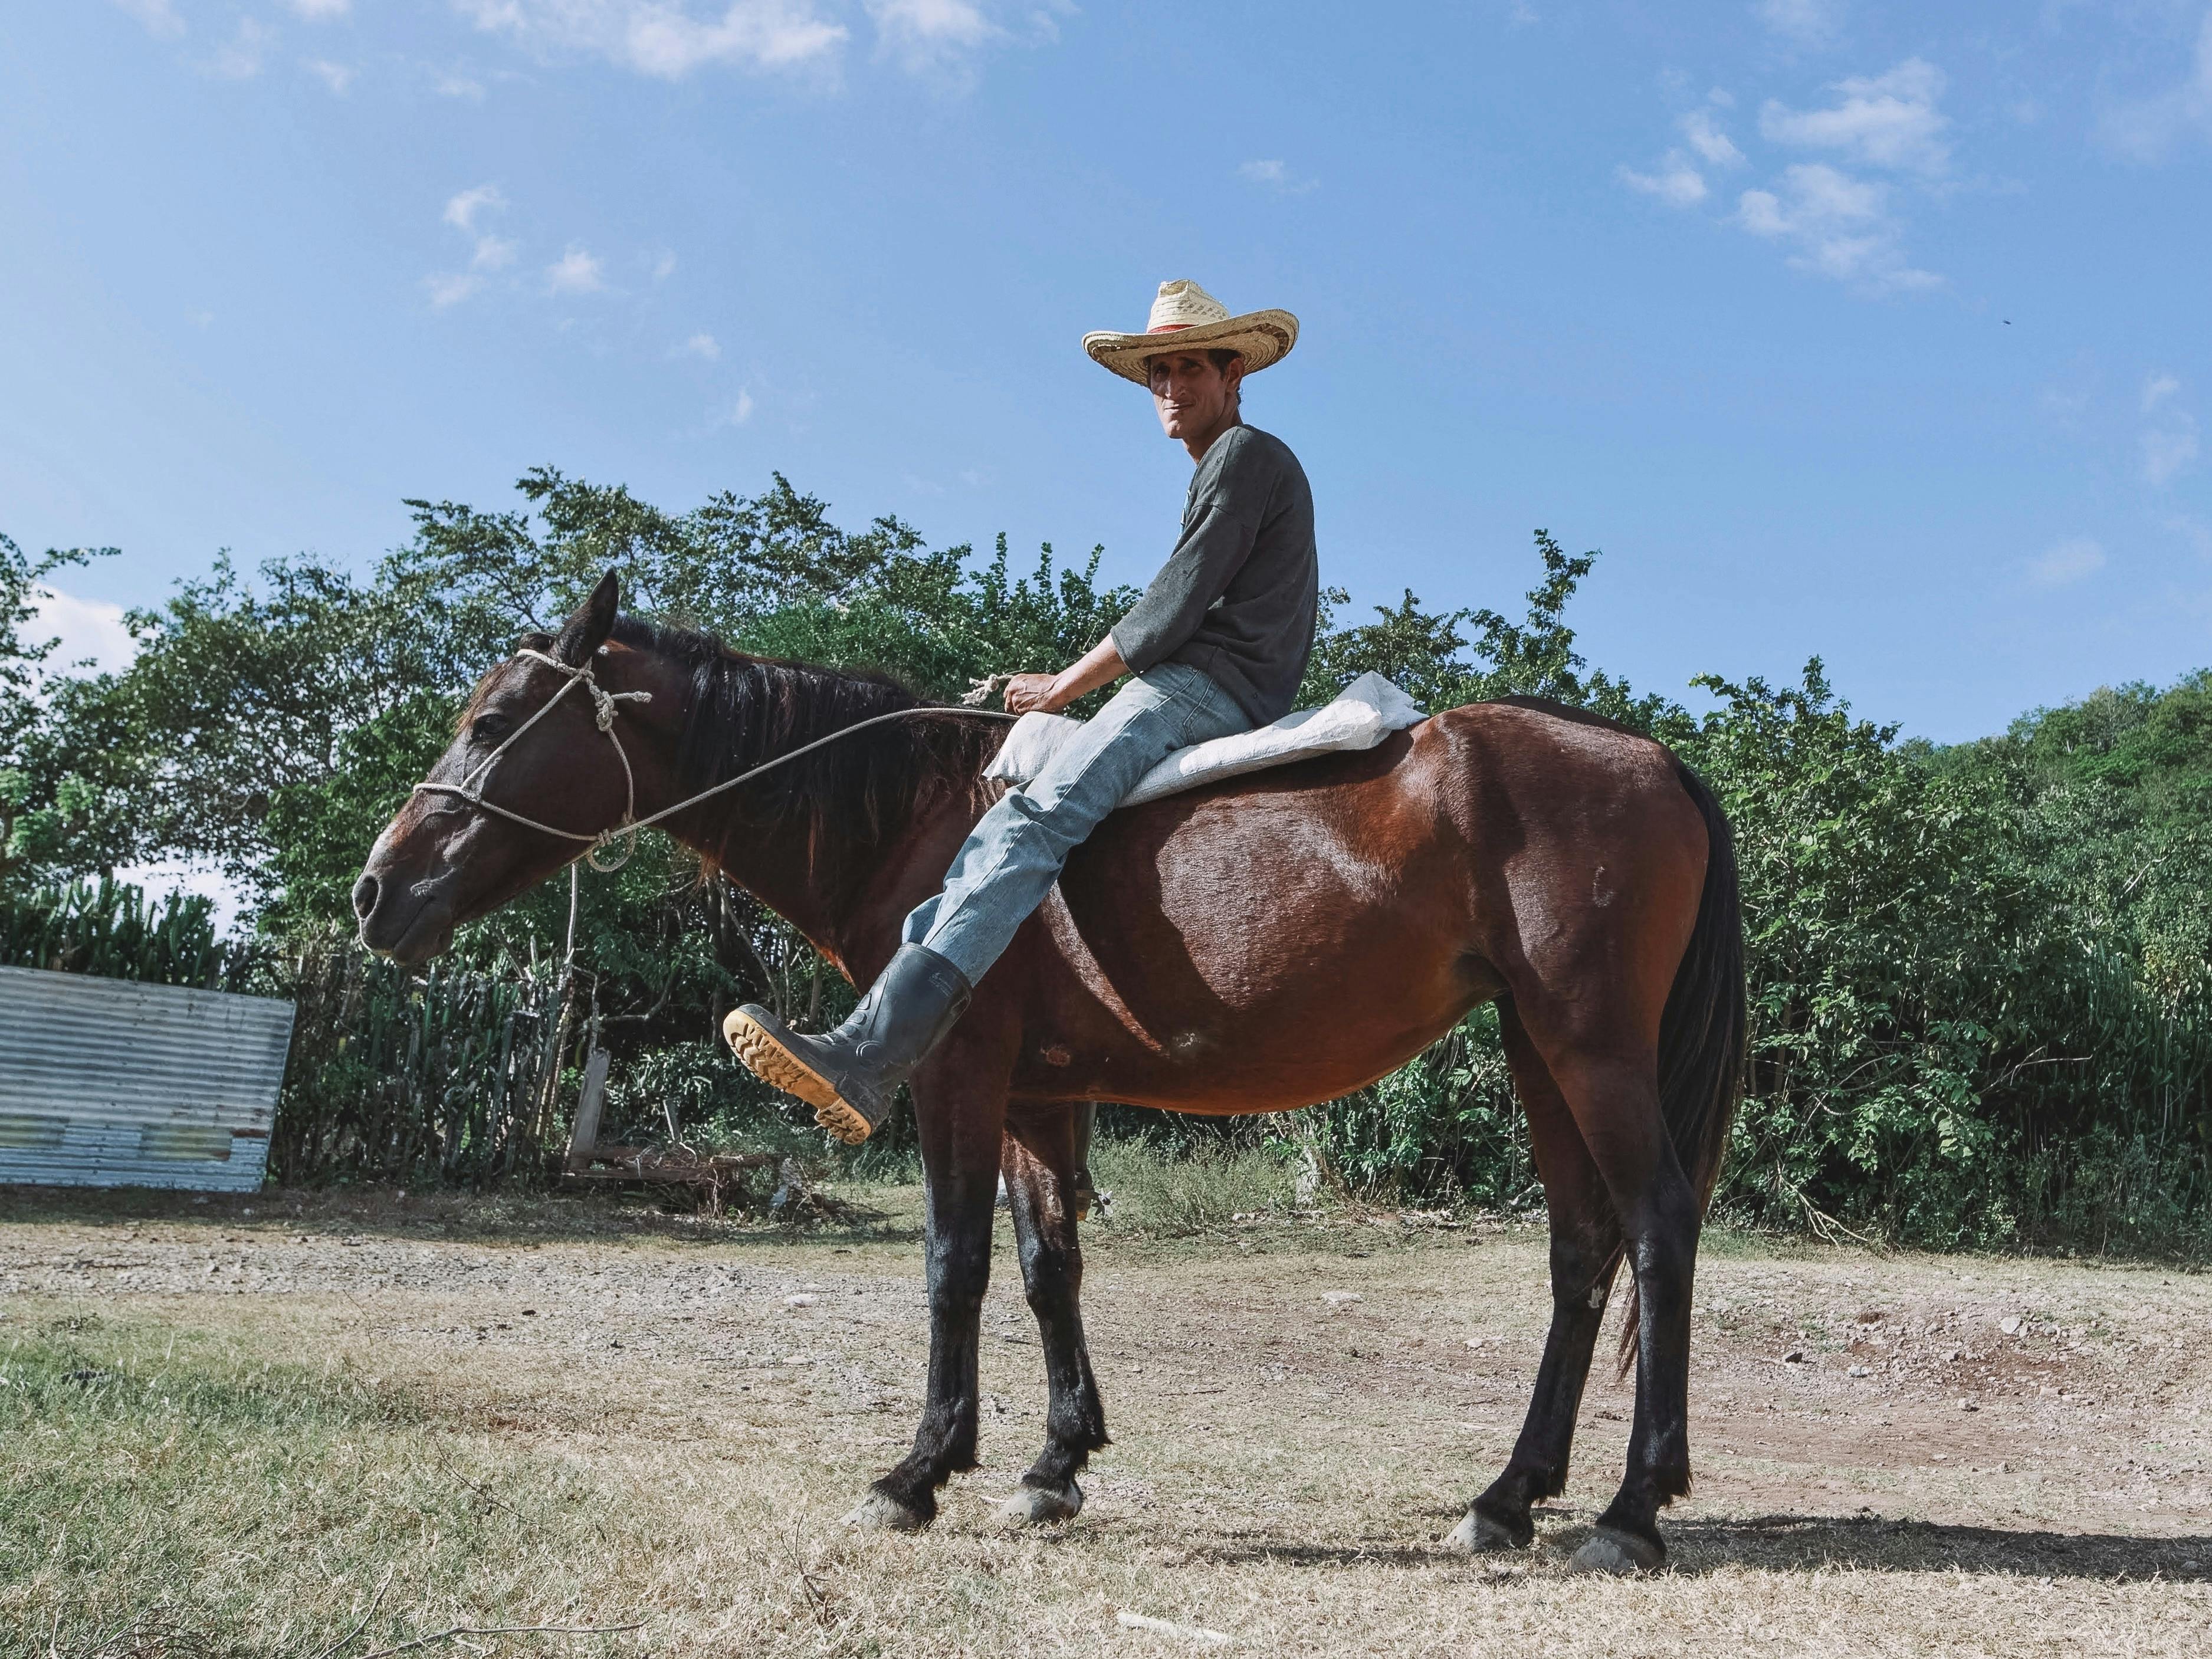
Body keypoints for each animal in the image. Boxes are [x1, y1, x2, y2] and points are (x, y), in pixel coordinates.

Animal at [354, 571, 1745, 1574]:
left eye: (491, 724)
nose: (377, 890)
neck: (917, 816)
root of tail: (1650, 757)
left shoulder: (955, 1073)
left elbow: (955, 1263)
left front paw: (918, 1470)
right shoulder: (1036, 1094)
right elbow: (1046, 1264)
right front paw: (1053, 1463)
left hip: (1589, 1046)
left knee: (1658, 1225)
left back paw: (1631, 1507)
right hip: (1538, 1051)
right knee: (1582, 1248)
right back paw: (1508, 1496)